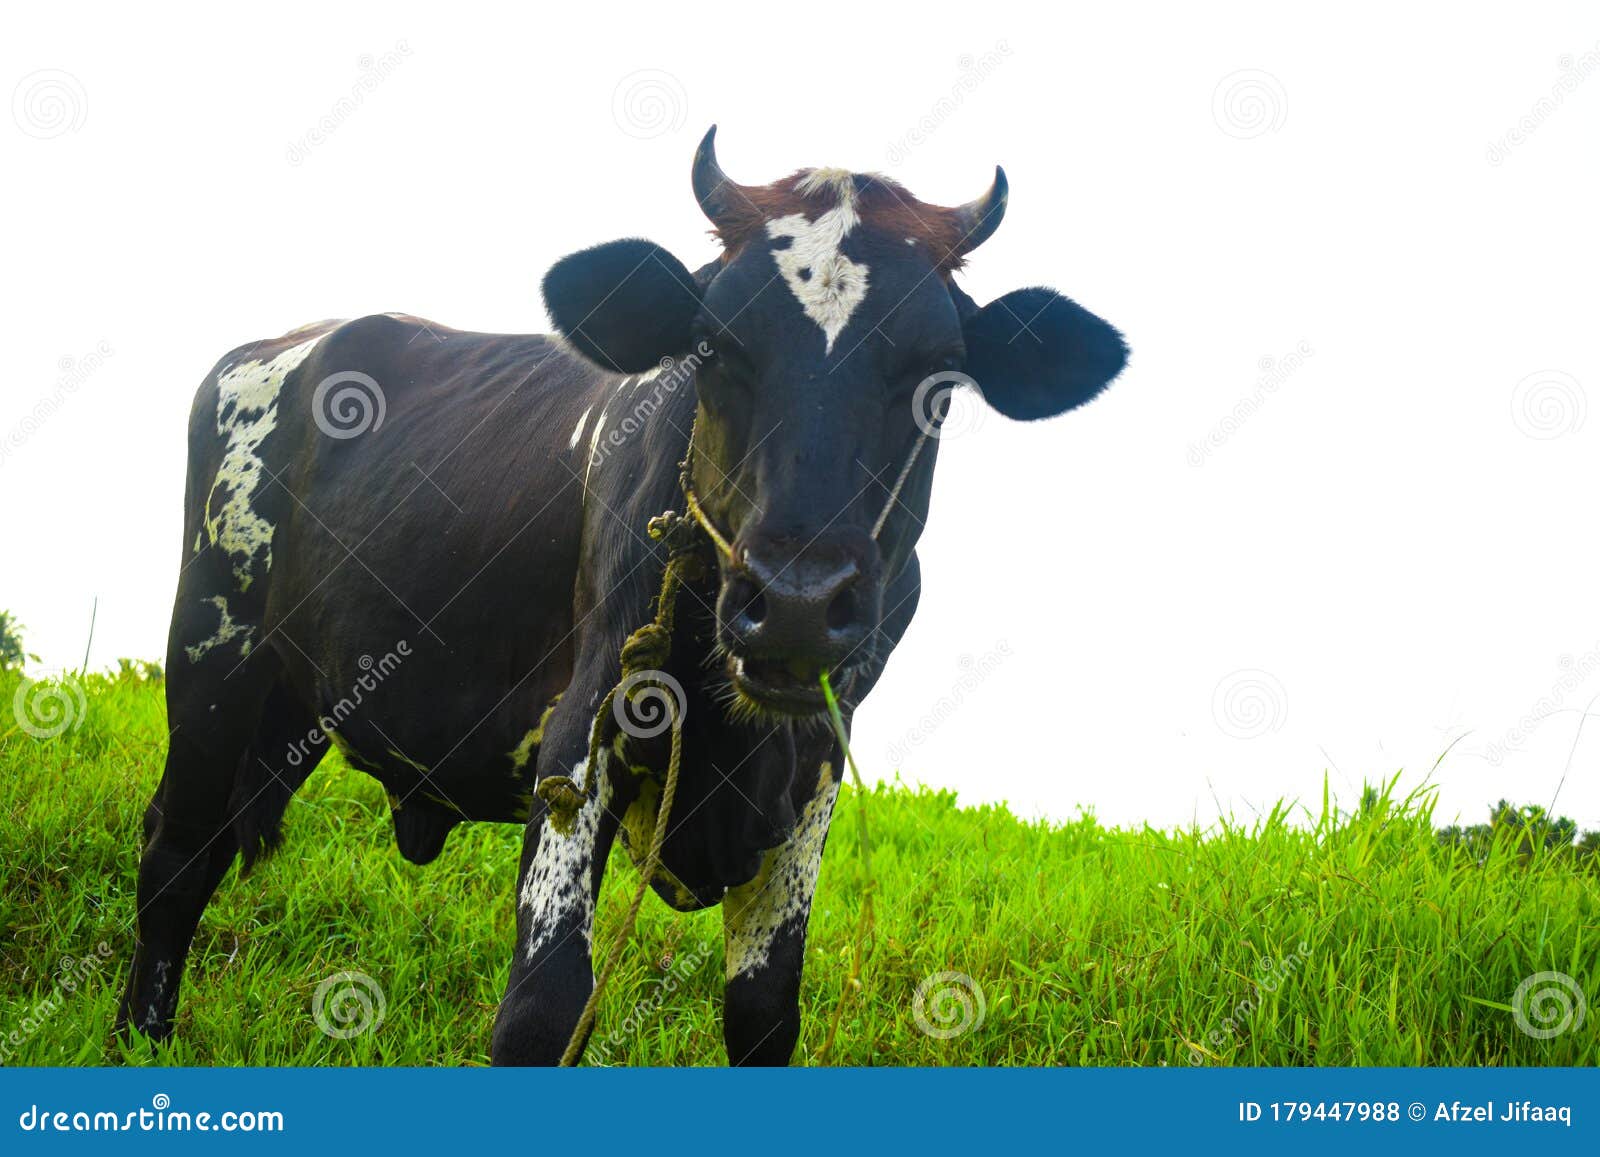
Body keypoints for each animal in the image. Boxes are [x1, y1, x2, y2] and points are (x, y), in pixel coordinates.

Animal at [115, 127, 1127, 1065]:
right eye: (716, 347)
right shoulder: (586, 718)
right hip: (212, 656)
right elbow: (542, 1006)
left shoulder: (812, 769)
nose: (797, 600)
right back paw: (139, 1038)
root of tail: (290, 340)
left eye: (938, 377)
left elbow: (764, 1013)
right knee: (178, 853)